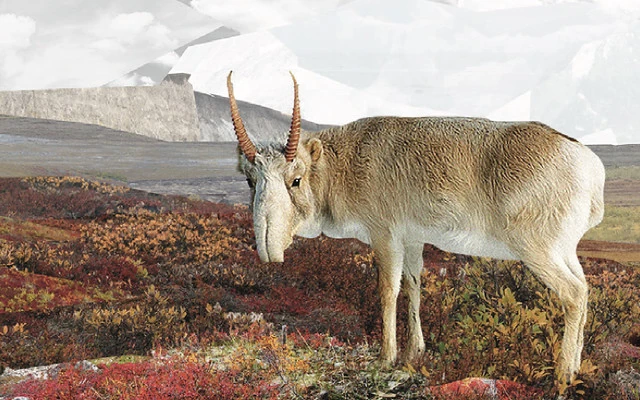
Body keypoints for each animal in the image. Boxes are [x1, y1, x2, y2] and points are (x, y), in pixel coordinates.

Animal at [226, 71, 605, 384]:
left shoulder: (385, 236)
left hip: (536, 249)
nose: (268, 247)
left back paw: (562, 376)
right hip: (564, 250)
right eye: (249, 180)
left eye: (296, 179)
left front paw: (386, 357)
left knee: (572, 293)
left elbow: (387, 290)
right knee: (586, 289)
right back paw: (577, 368)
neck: (344, 164)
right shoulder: (413, 240)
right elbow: (413, 286)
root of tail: (591, 166)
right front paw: (414, 352)